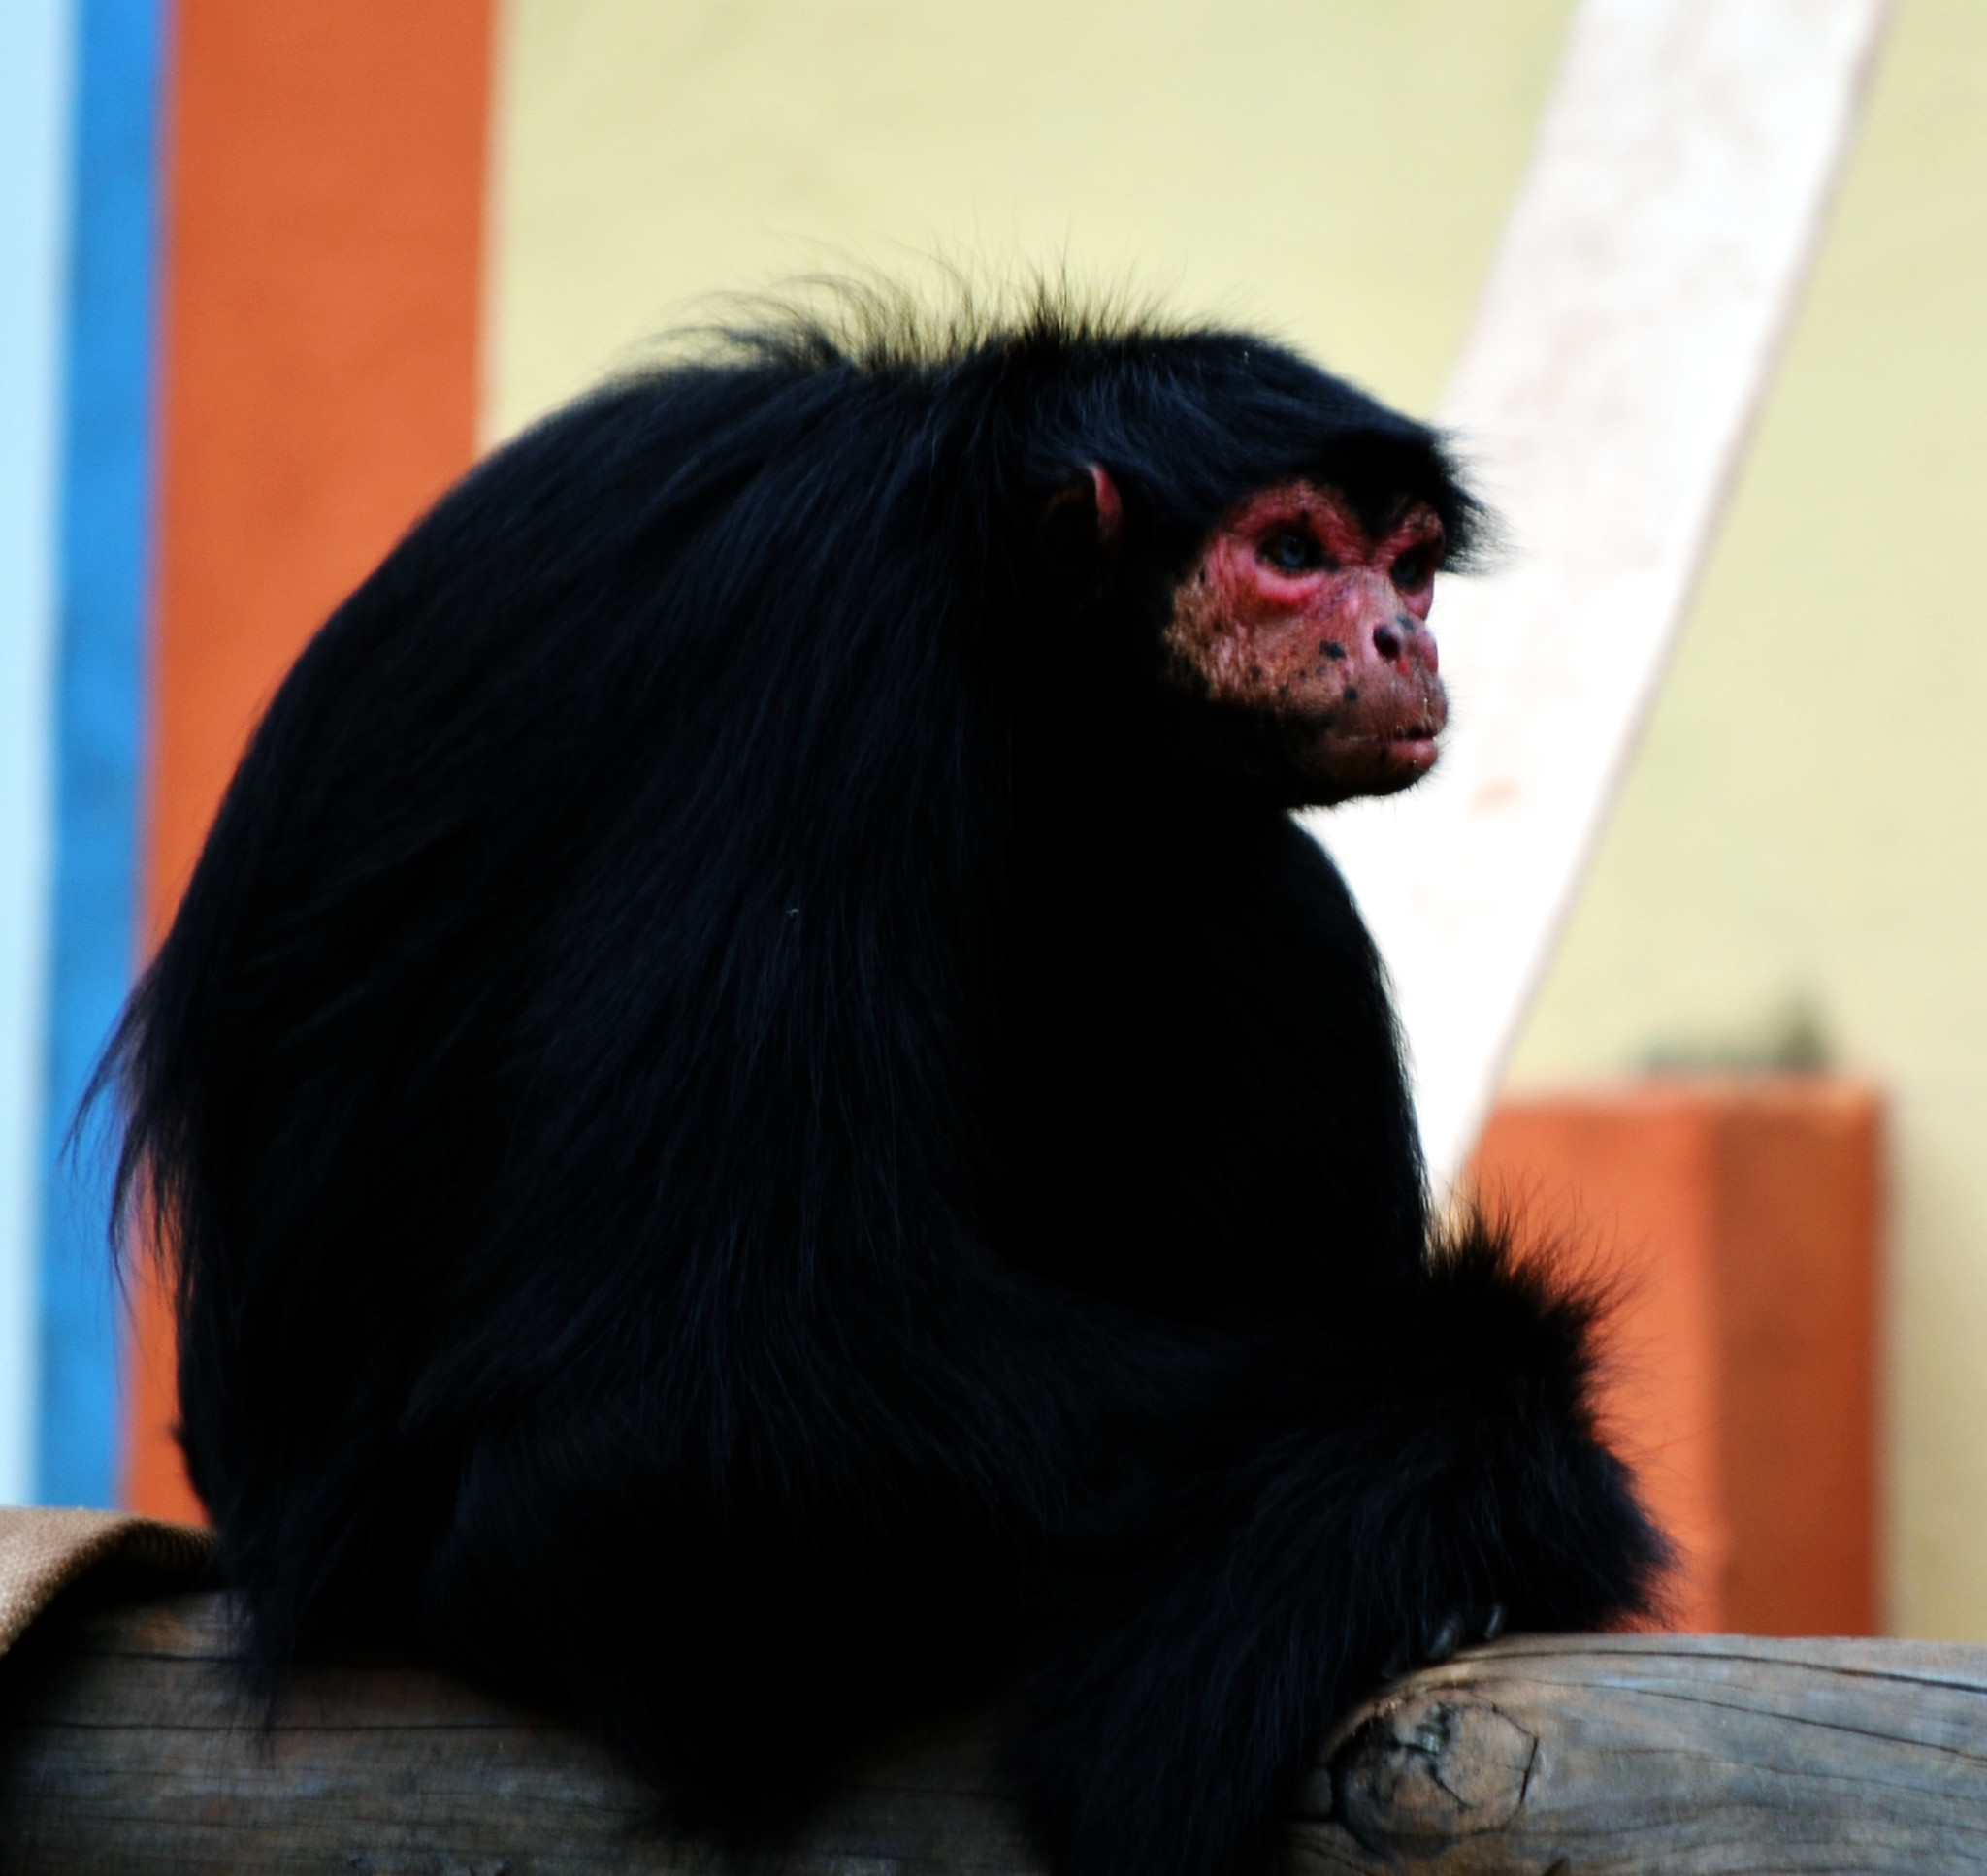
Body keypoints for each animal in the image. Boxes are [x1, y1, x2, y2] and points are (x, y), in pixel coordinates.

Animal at [101, 291, 1664, 1876]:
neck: (956, 520)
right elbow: (688, 1379)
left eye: (1405, 562)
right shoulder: (835, 645)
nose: (1400, 631)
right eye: (1292, 553)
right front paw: (1500, 1467)